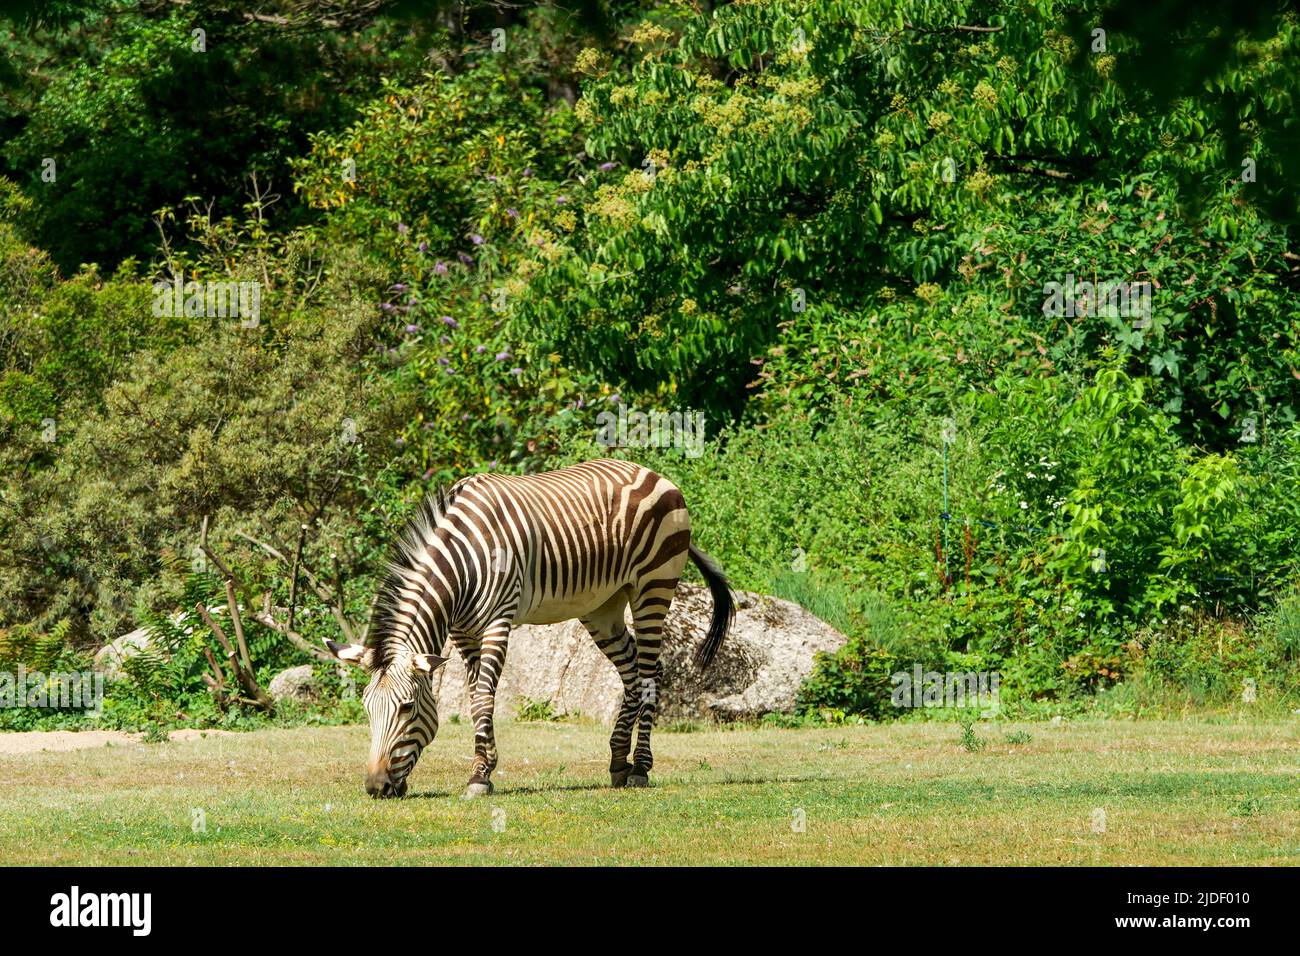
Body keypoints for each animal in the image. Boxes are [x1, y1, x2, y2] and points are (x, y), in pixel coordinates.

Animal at [326, 458, 734, 798]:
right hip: (603, 606)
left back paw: (641, 769)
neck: (461, 564)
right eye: (367, 709)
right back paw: (619, 763)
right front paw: (484, 767)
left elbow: (483, 697)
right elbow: (475, 699)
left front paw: (479, 777)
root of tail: (651, 472)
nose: (376, 787)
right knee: (633, 673)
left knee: (649, 673)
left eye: (407, 708)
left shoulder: (498, 621)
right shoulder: (462, 632)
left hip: (653, 586)